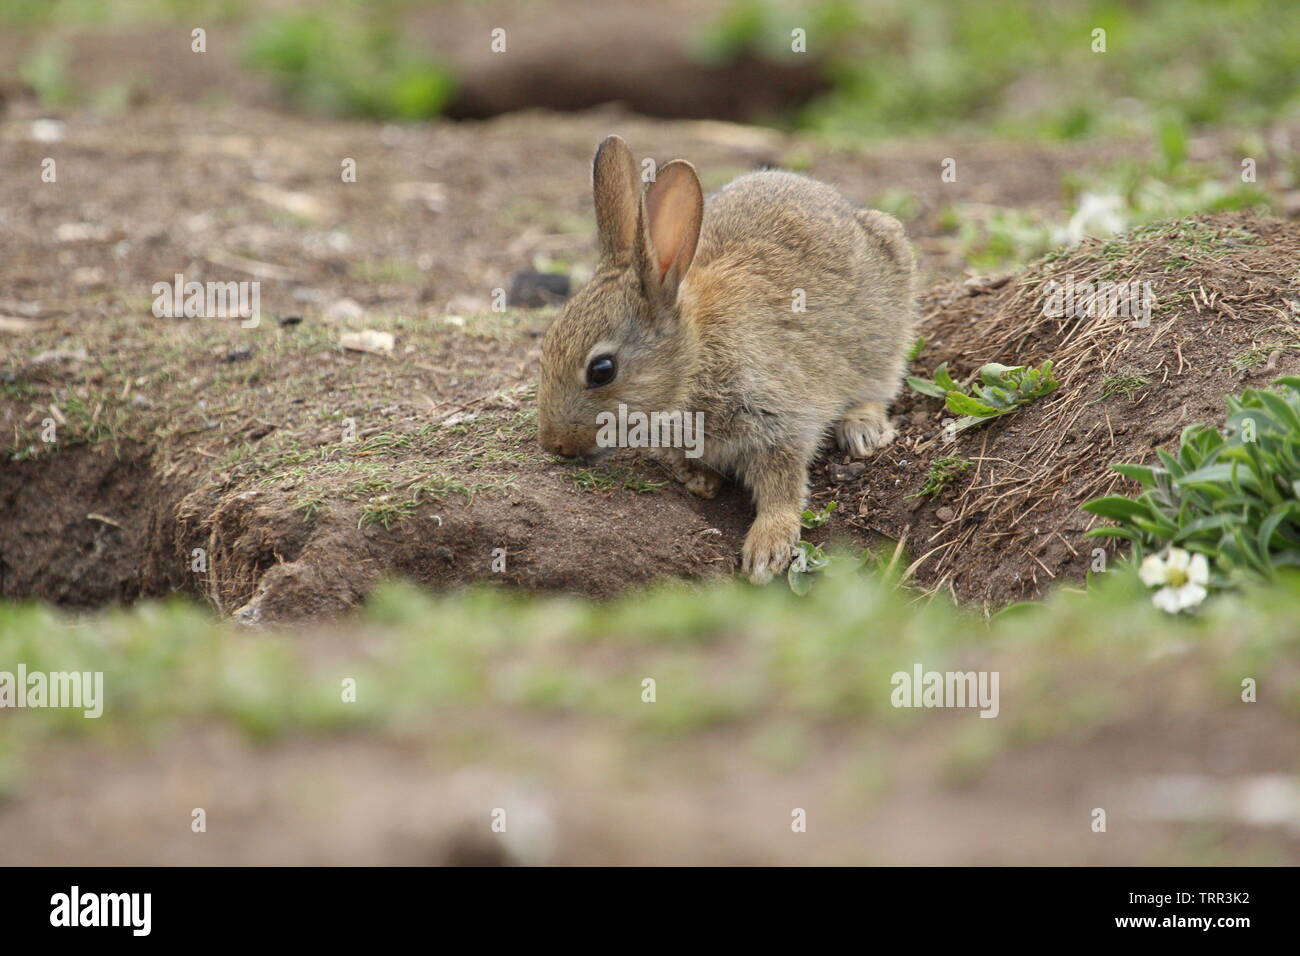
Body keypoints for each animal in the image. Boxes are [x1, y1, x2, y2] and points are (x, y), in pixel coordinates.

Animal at [537, 135, 917, 583]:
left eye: (601, 371)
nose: (554, 443)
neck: (693, 363)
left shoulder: (779, 420)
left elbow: (783, 486)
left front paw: (766, 551)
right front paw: (699, 480)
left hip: (887, 337)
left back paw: (861, 429)